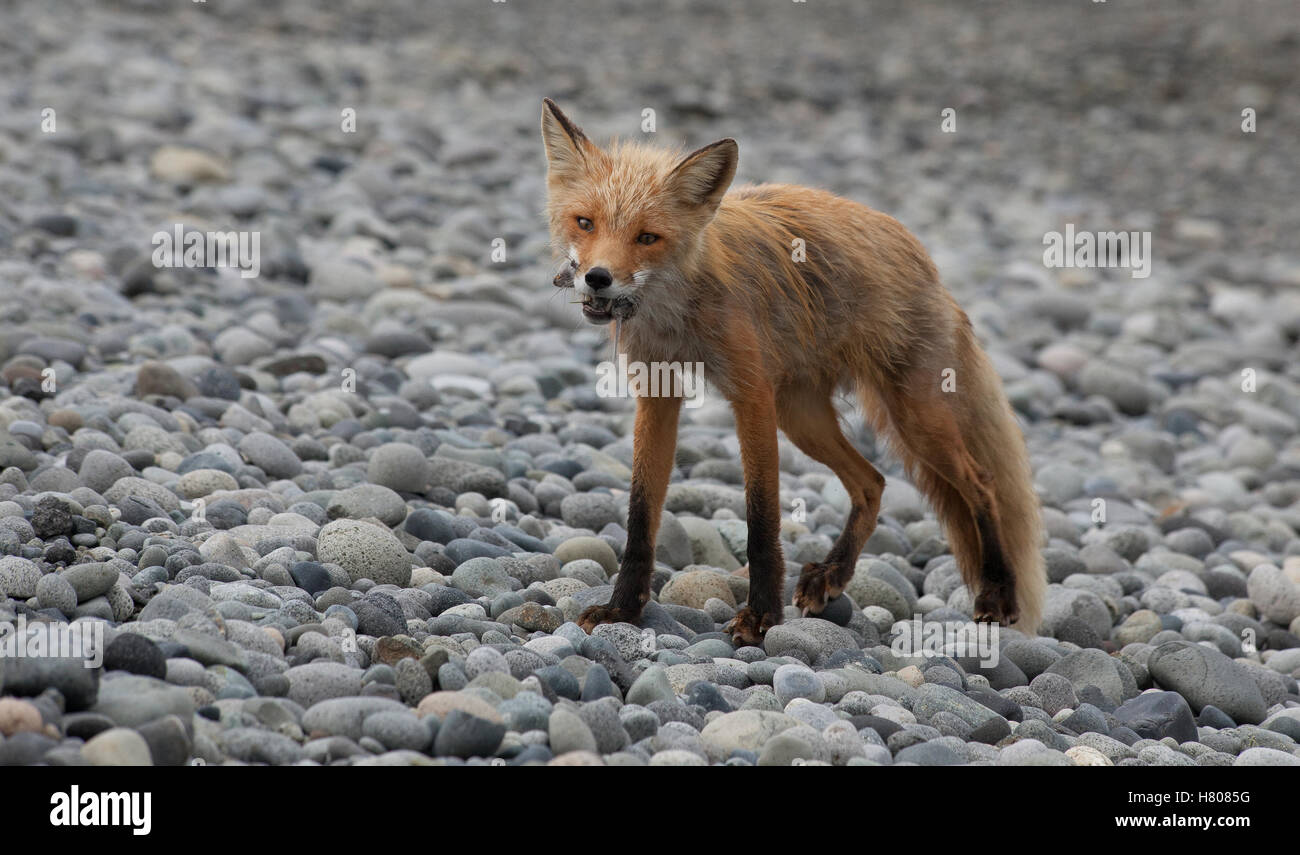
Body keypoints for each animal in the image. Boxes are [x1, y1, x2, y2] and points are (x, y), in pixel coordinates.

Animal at [541, 99, 1046, 646]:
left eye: (647, 237)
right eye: (585, 223)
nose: (598, 278)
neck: (679, 311)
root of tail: (925, 261)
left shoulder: (752, 397)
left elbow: (762, 520)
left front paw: (761, 615)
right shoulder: (658, 394)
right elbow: (639, 515)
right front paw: (623, 608)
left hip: (917, 420)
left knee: (982, 484)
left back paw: (997, 592)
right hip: (804, 418)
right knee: (872, 483)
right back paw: (833, 574)